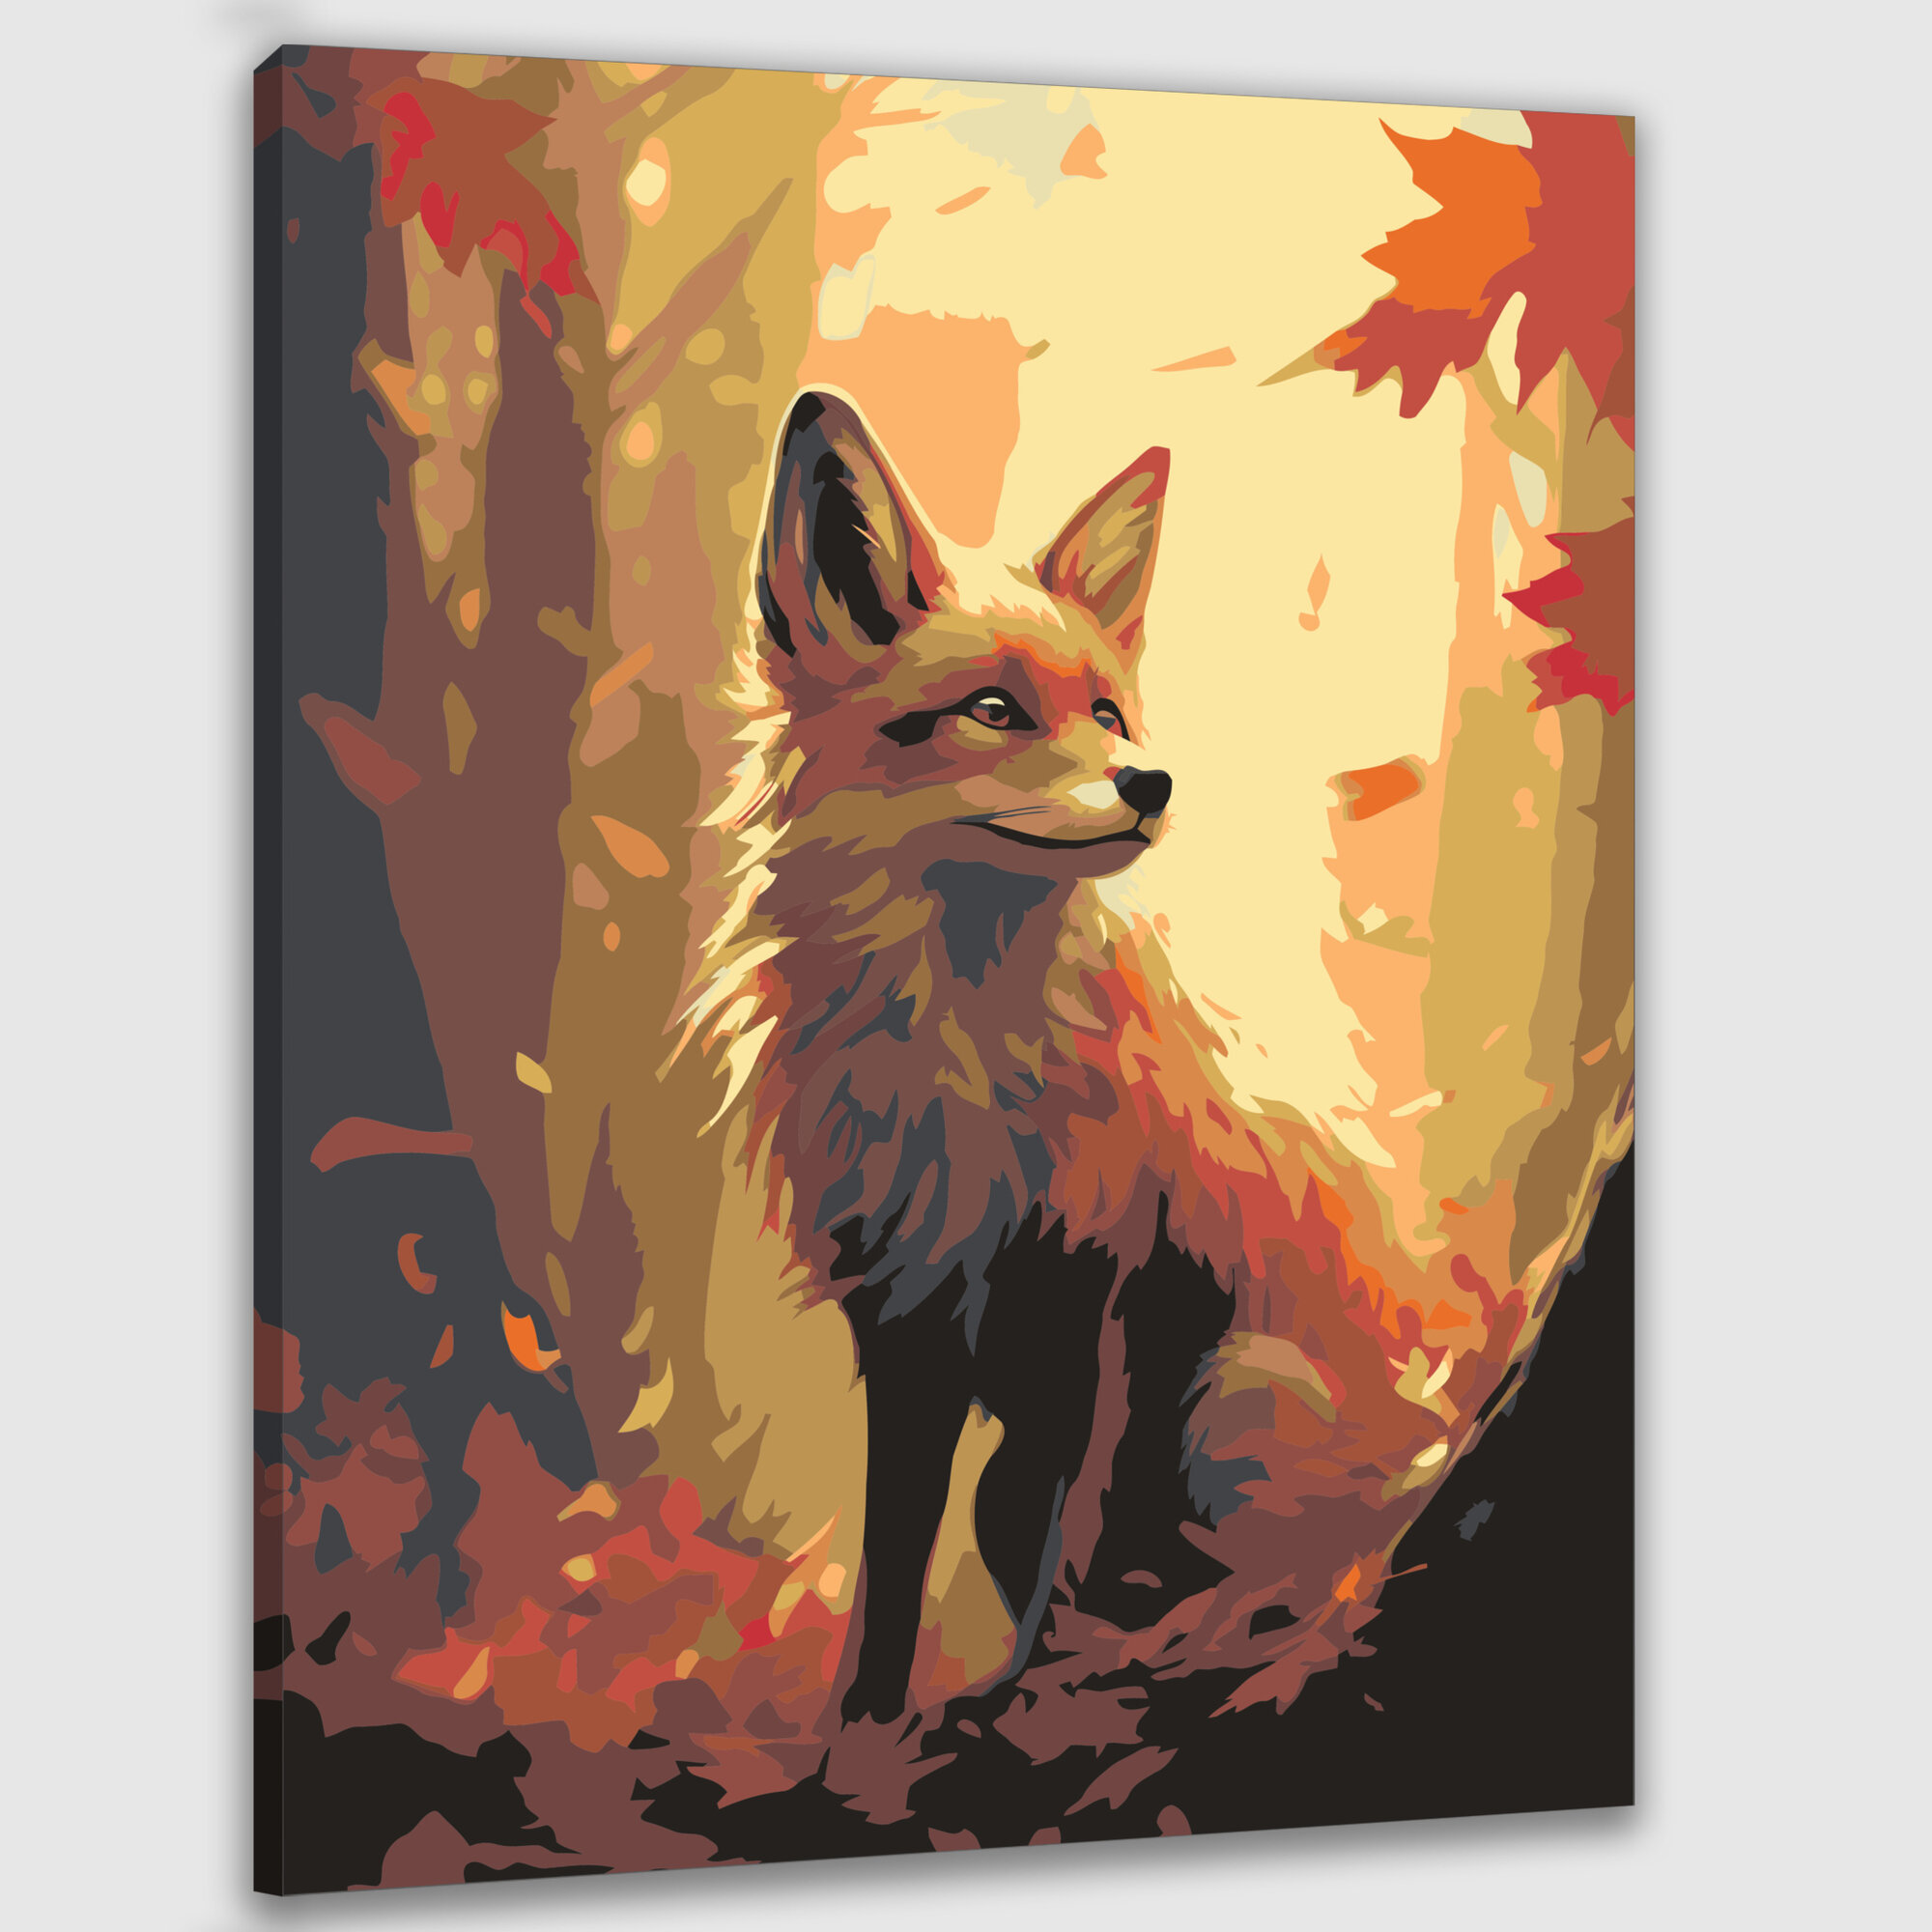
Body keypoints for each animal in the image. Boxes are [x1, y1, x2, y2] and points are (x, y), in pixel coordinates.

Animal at [679, 390, 1478, 1728]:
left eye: (1108, 713)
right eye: (993, 710)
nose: (1151, 781)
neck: (960, 1063)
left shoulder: (1098, 1284)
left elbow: (1072, 1543)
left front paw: (1018, 1702)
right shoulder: (905, 1316)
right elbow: (889, 1576)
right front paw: (863, 1735)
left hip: (1232, 1394)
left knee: (1265, 1581)